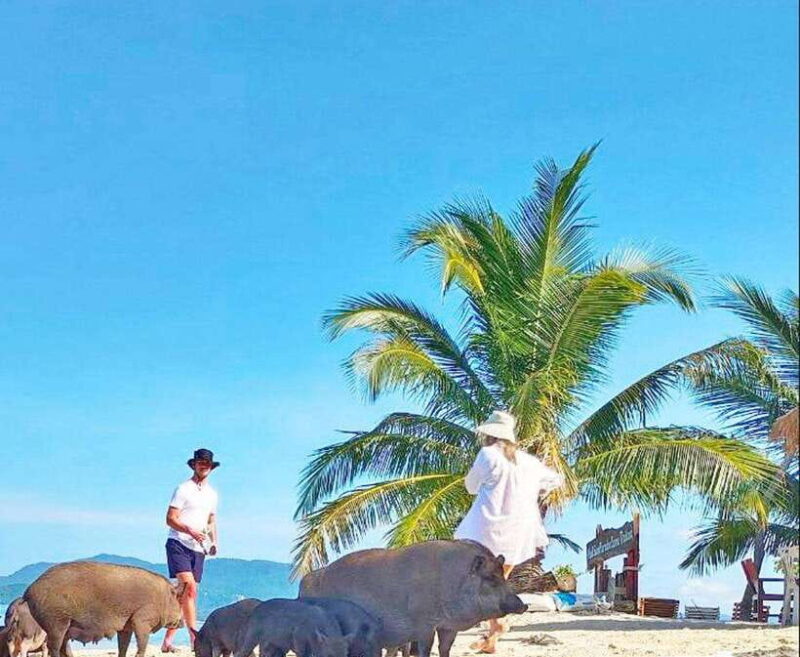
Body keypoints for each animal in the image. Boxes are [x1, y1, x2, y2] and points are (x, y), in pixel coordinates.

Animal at [23, 561, 184, 657]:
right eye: (177, 599)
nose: (182, 622)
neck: (162, 598)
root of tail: (29, 590)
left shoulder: (126, 627)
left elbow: (123, 645)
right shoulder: (141, 620)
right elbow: (142, 642)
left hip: (64, 626)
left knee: (64, 647)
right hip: (56, 622)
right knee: (54, 647)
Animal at [299, 540, 527, 657]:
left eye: (502, 575)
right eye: (490, 578)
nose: (523, 605)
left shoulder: (448, 627)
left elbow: (445, 648)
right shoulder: (424, 624)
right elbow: (426, 648)